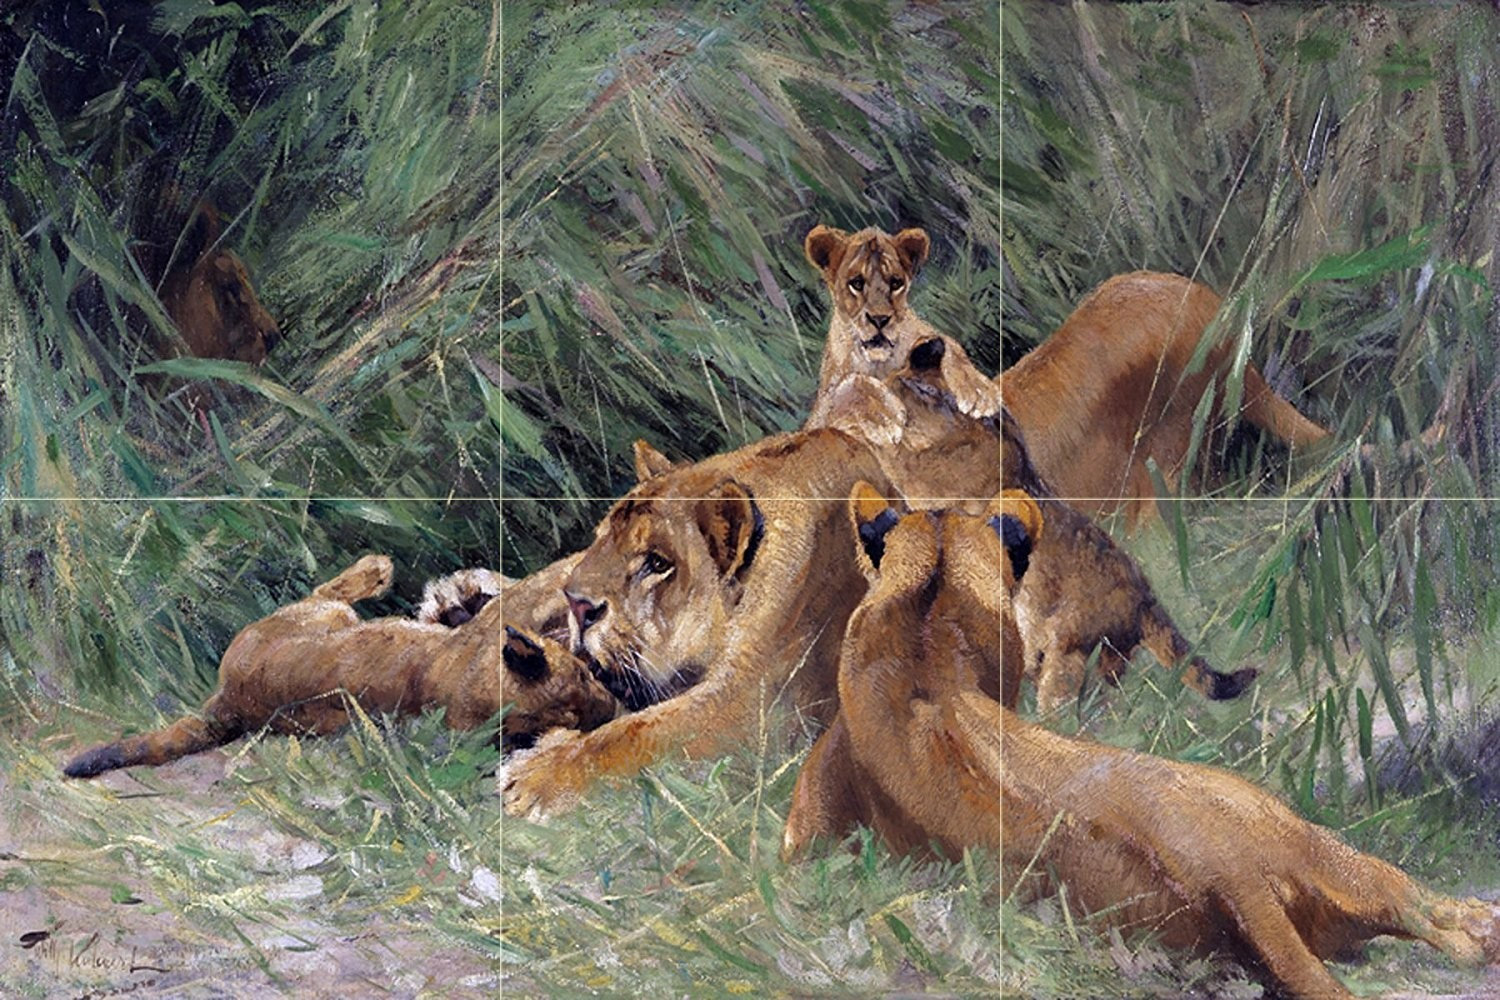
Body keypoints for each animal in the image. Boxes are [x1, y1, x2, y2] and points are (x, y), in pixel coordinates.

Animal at [63, 555, 619, 778]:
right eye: (583, 677)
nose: (612, 709)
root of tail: (227, 702)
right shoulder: (499, 622)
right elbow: (545, 582)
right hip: (319, 613)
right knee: (326, 589)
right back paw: (375, 568)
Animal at [499, 428, 897, 819]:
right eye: (600, 541)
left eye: (657, 563)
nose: (577, 604)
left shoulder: (755, 714)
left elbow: (636, 735)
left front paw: (531, 779)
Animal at [820, 333, 1253, 712]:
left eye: (924, 388)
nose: (927, 349)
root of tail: (1145, 597)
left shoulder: (927, 474)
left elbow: (892, 446)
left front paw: (866, 414)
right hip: (1096, 658)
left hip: (1068, 648)